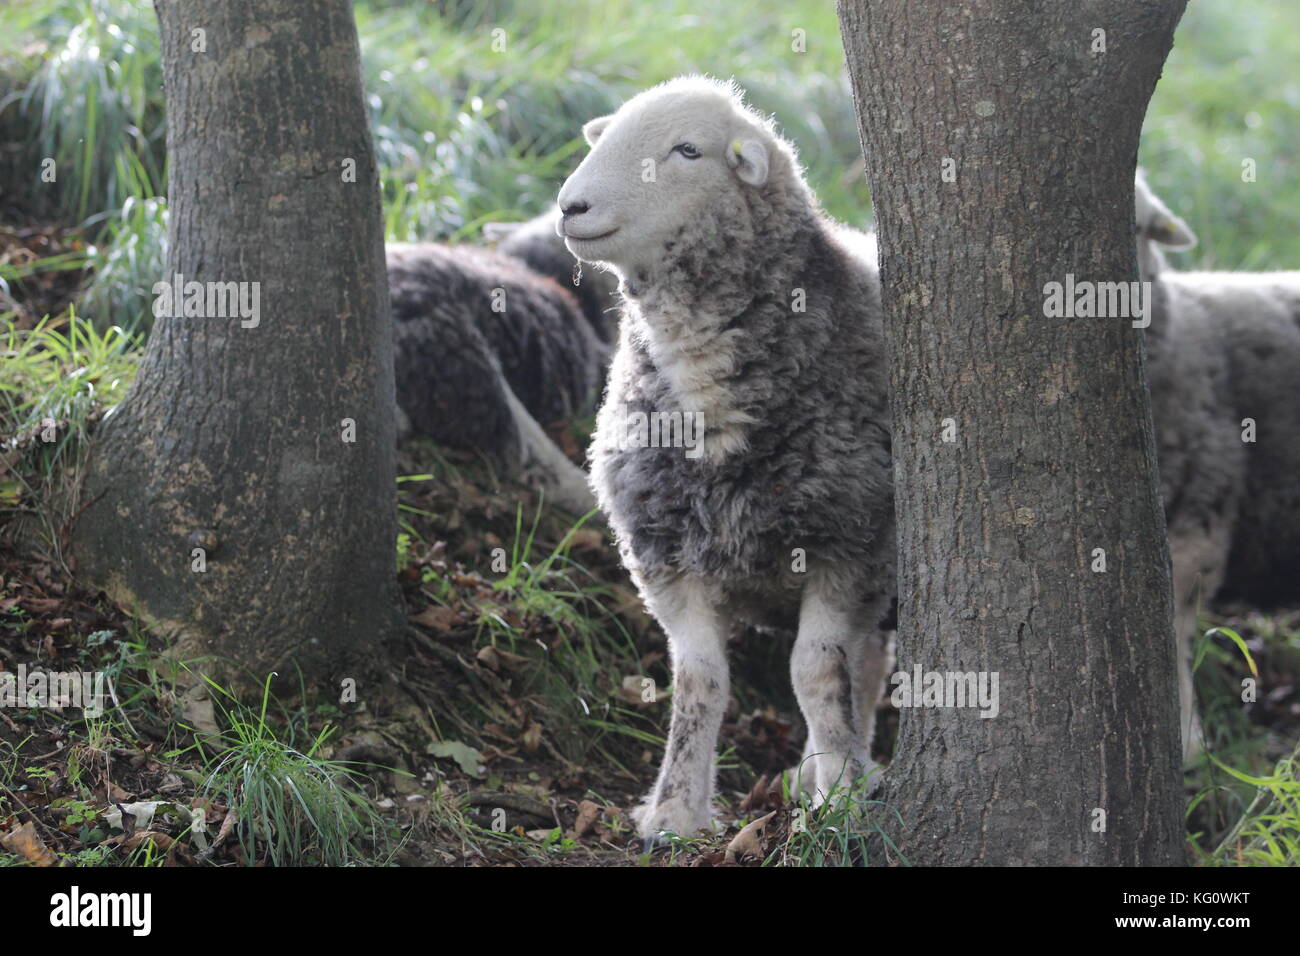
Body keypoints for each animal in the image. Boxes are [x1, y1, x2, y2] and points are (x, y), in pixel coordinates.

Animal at [557, 76, 894, 839]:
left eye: (689, 150)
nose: (570, 205)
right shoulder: (665, 554)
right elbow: (699, 682)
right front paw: (674, 812)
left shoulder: (845, 542)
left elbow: (814, 672)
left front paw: (841, 799)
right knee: (866, 659)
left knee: (860, 663)